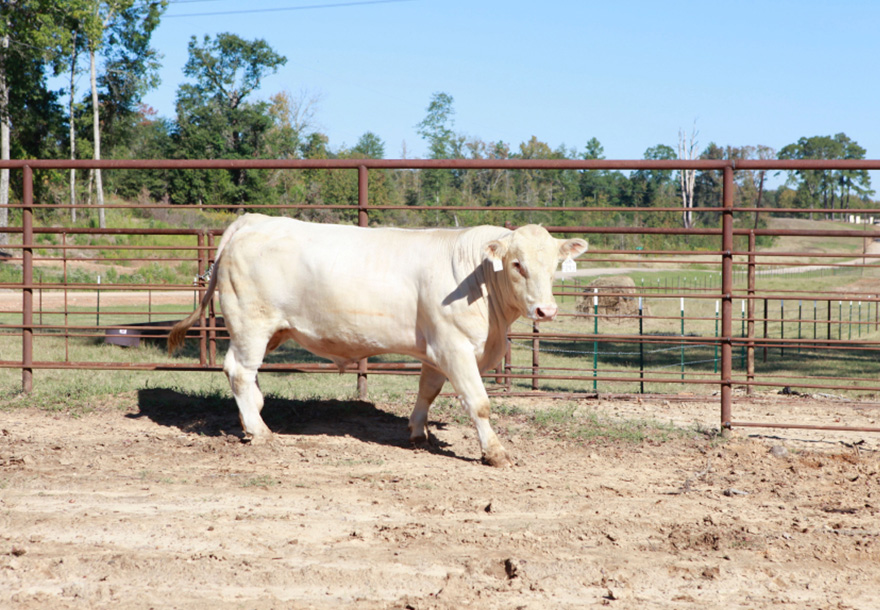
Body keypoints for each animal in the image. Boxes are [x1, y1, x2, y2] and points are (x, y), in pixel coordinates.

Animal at [168, 214, 588, 466]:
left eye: (554, 266)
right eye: (517, 264)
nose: (546, 310)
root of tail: (254, 220)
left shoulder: (435, 350)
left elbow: (427, 392)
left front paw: (417, 433)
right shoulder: (454, 347)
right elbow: (479, 403)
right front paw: (495, 453)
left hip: (271, 330)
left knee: (247, 374)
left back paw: (252, 416)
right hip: (251, 323)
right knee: (239, 371)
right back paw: (260, 431)